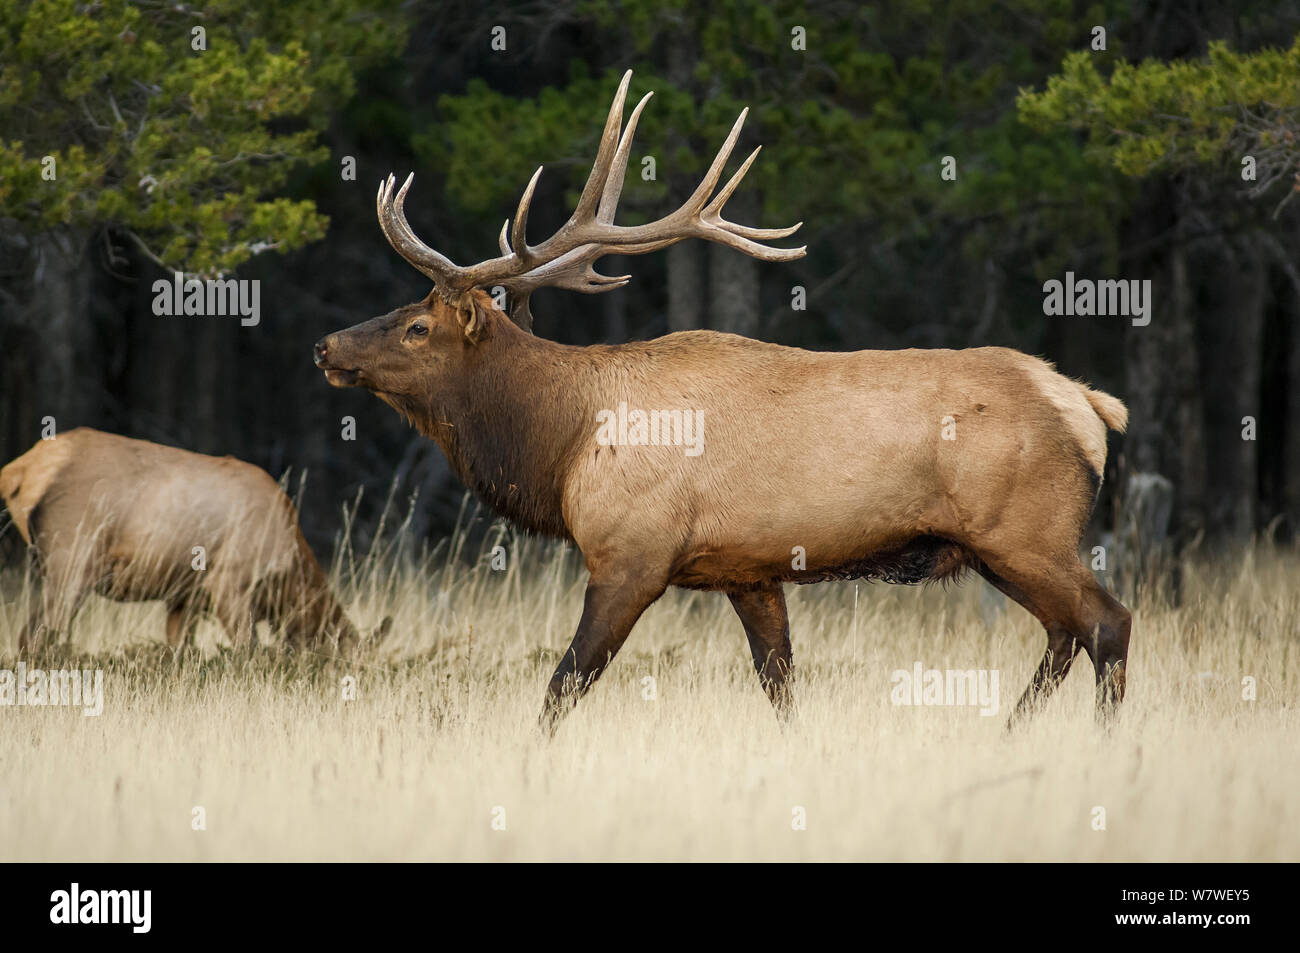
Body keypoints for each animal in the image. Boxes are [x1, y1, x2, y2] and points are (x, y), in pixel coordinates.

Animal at [1, 428, 385, 654]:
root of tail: (19, 471)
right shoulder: (230, 581)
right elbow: (247, 649)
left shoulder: (184, 597)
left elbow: (179, 649)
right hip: (73, 556)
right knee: (38, 634)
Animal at [313, 70, 1131, 732]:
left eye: (418, 326)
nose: (325, 346)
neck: (565, 445)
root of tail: (1091, 405)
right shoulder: (750, 570)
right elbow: (780, 685)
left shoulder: (631, 554)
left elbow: (562, 684)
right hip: (999, 548)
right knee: (1064, 634)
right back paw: (1012, 730)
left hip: (1028, 531)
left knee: (1107, 624)